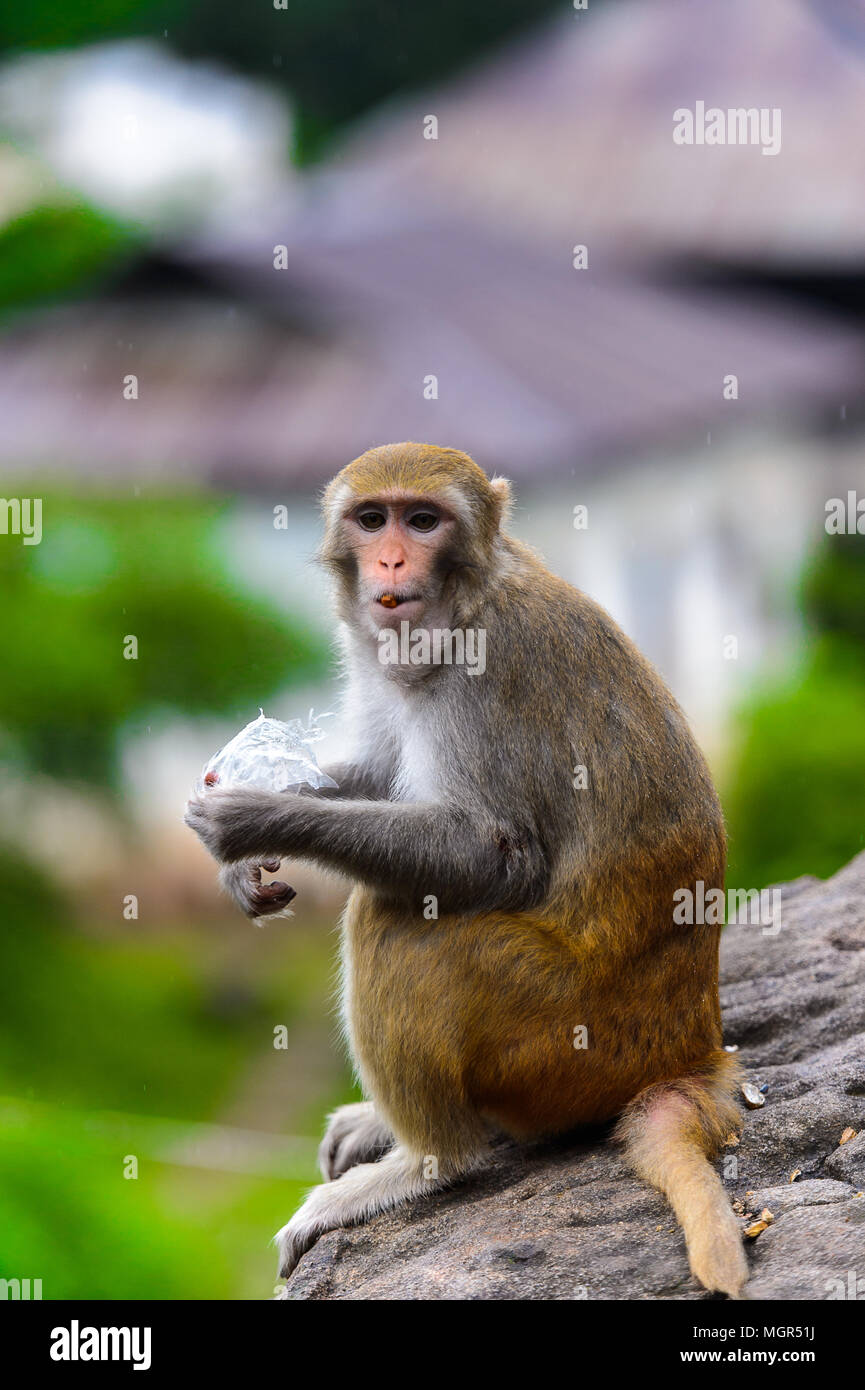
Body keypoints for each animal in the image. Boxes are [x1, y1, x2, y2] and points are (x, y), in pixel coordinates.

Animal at [184, 441, 748, 1298]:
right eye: (371, 518)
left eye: (423, 520)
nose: (389, 558)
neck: (464, 606)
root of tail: (689, 1050)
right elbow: (381, 774)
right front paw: (244, 843)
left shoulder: (489, 675)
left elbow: (495, 852)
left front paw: (248, 818)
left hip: (557, 1038)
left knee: (392, 921)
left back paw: (427, 1161)